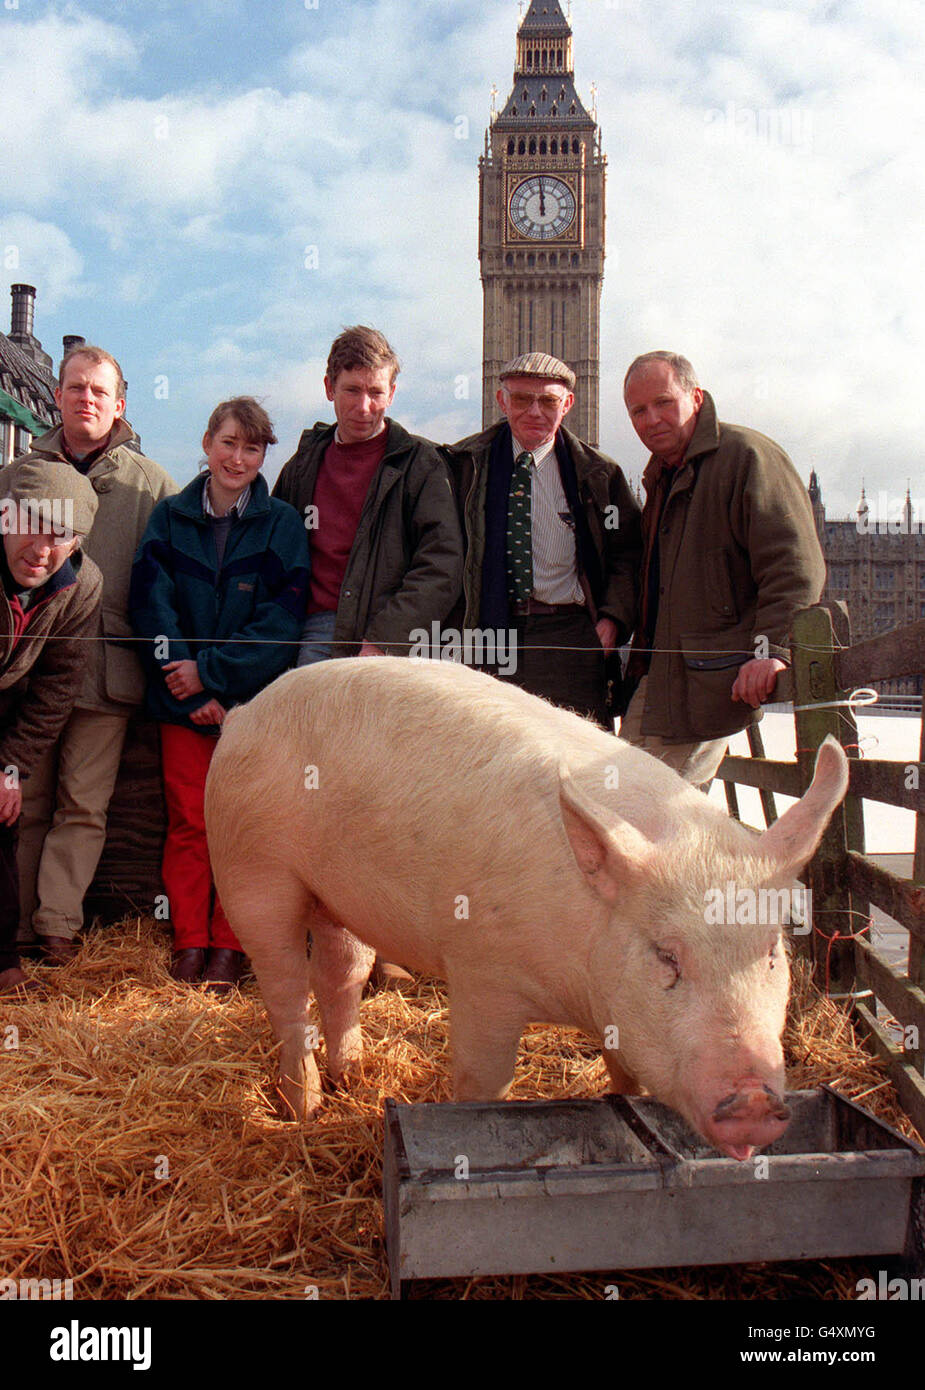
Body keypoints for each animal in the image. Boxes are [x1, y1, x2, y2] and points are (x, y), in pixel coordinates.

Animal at [204, 656, 848, 1159]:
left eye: (771, 953)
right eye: (666, 955)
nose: (756, 1100)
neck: (575, 994)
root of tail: (243, 712)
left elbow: (630, 1081)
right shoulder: (481, 973)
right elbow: (483, 1079)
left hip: (338, 896)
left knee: (340, 972)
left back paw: (353, 1077)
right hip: (251, 870)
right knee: (286, 991)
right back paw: (306, 1109)